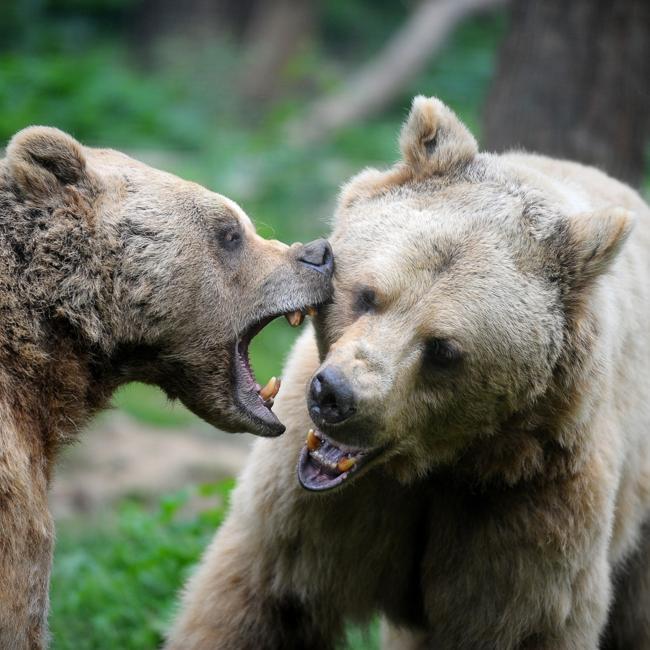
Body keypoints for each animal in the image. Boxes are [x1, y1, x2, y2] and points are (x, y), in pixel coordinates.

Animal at [166, 96, 650, 650]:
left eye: (442, 349)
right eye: (367, 294)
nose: (335, 396)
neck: (436, 465)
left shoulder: (529, 501)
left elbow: (520, 623)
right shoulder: (309, 505)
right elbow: (264, 598)